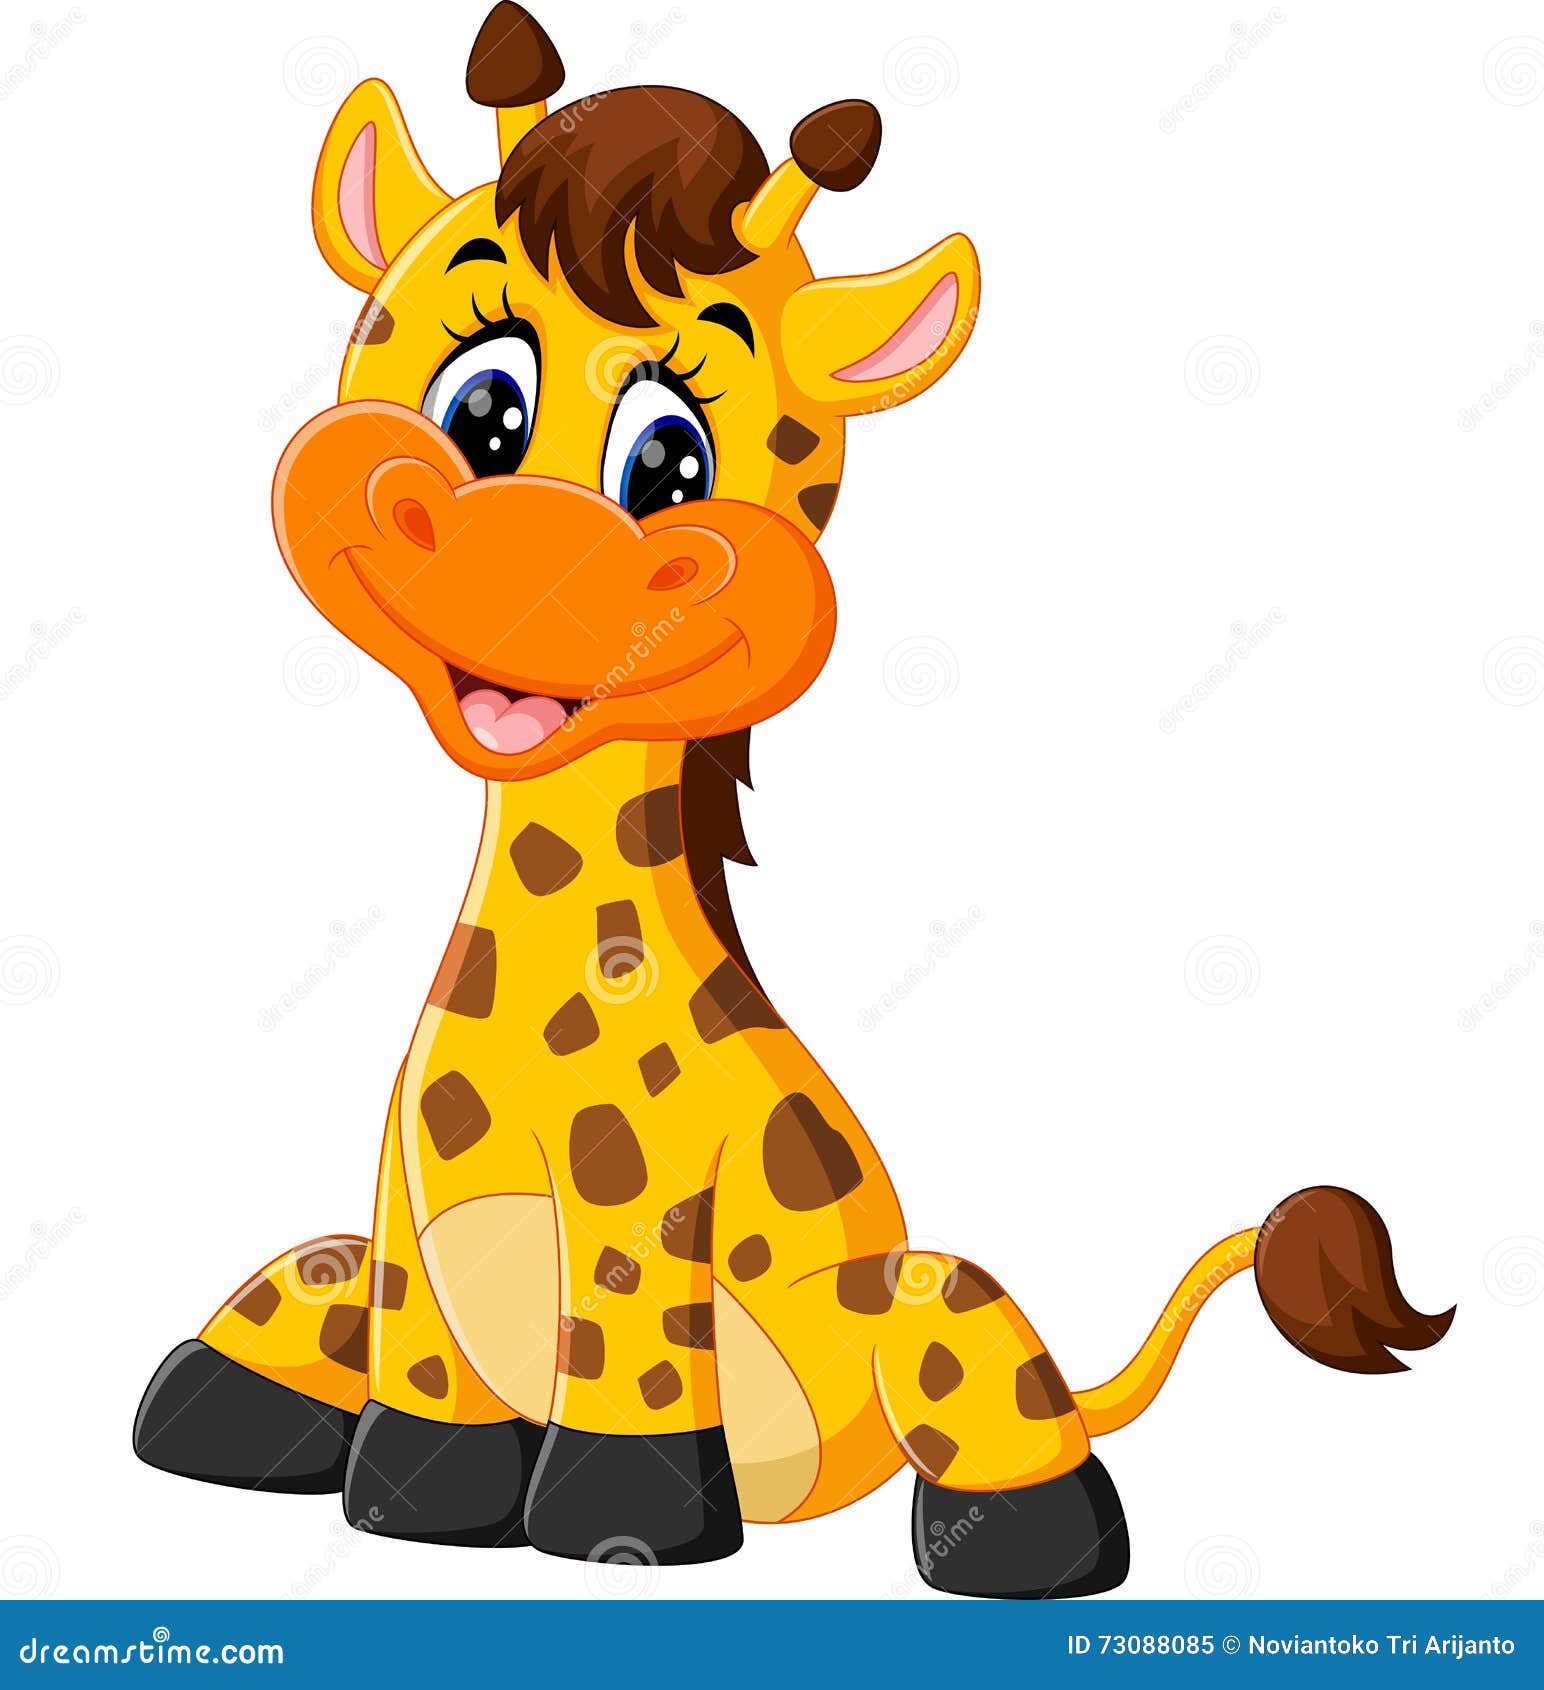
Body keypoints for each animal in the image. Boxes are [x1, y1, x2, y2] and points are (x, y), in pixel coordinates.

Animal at [133, 5, 1453, 1596]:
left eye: (669, 460)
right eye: (485, 405)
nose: (517, 558)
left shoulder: (647, 1217)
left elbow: (628, 1363)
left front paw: (616, 1527)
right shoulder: (416, 1206)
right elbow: (415, 1369)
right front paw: (417, 1506)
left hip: (917, 1318)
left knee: (984, 1362)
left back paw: (1025, 1539)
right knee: (317, 1277)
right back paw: (222, 1396)